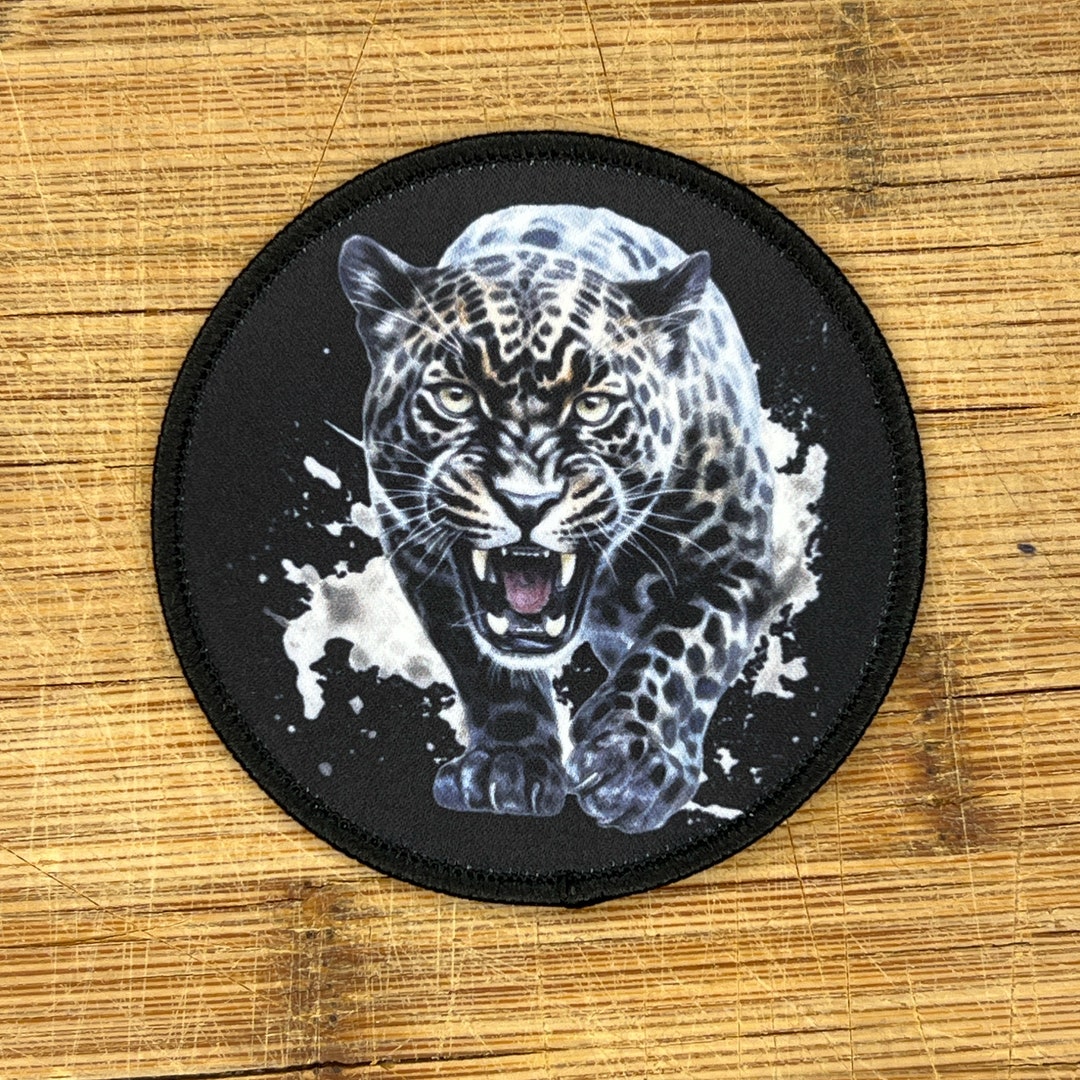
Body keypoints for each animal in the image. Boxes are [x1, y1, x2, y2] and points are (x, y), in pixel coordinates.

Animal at [337, 204, 775, 833]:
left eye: (593, 405)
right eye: (455, 398)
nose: (526, 501)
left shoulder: (739, 562)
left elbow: (686, 647)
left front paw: (634, 762)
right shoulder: (419, 555)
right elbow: (487, 667)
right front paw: (507, 763)